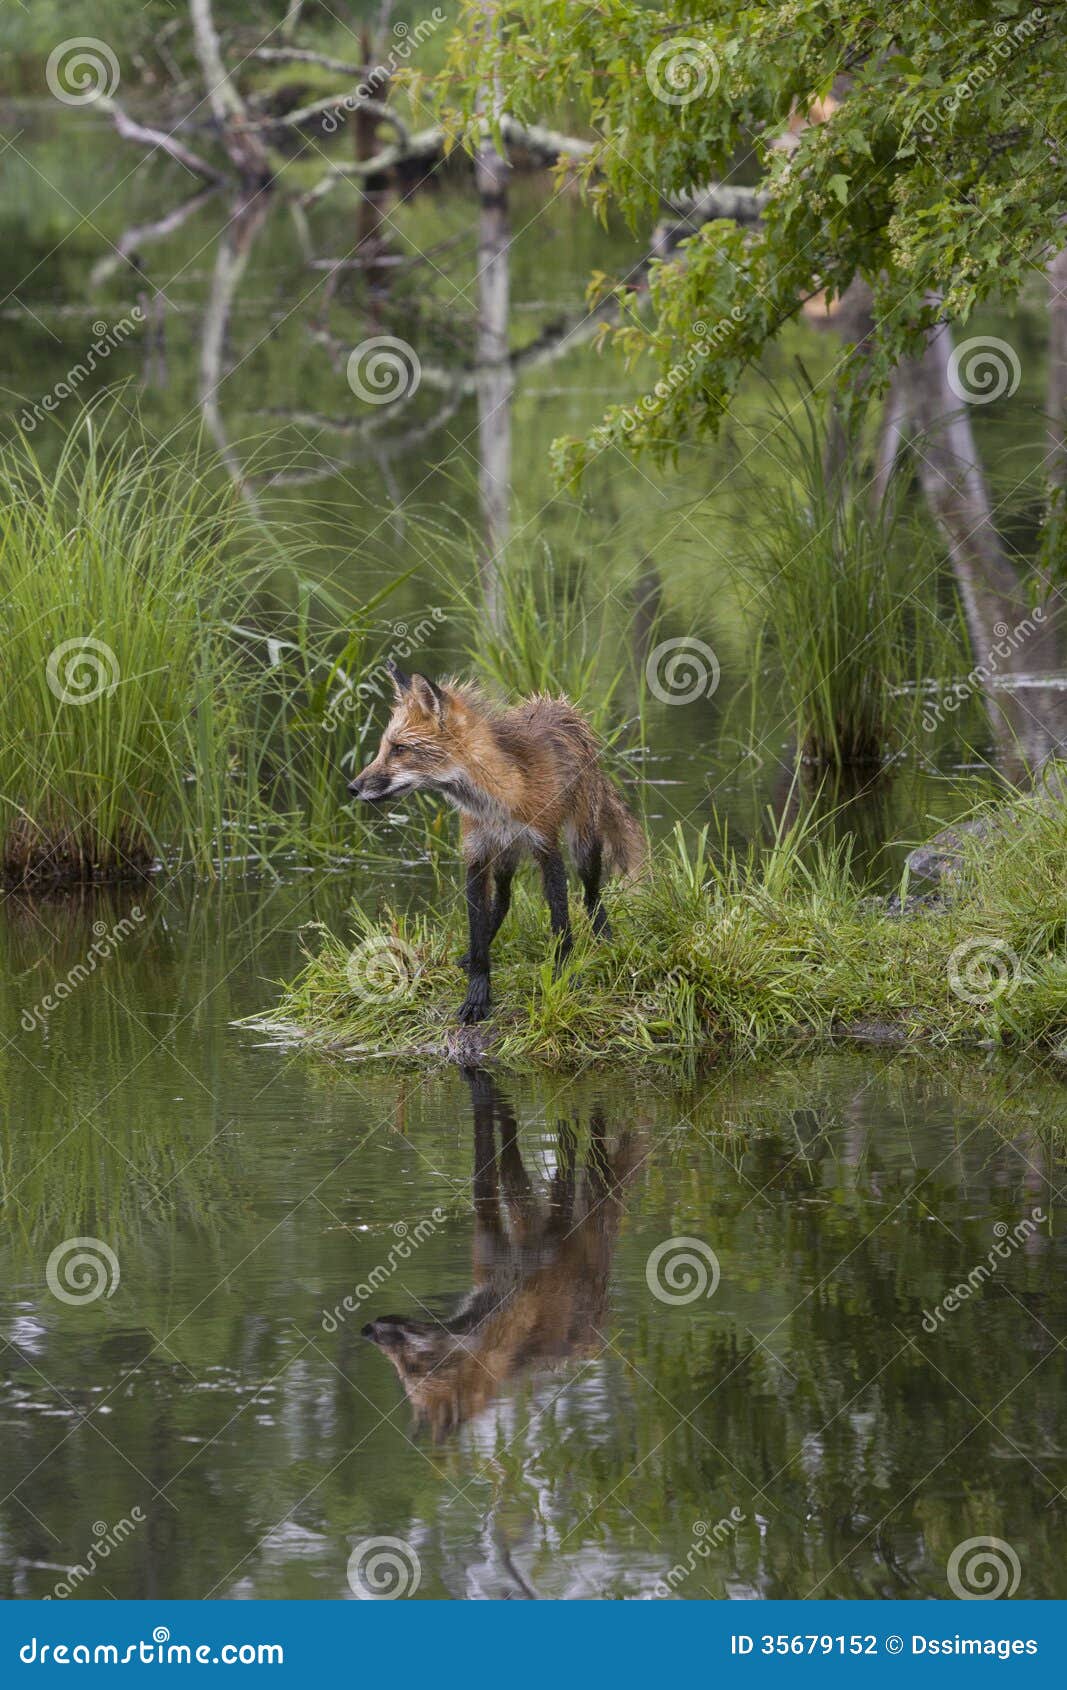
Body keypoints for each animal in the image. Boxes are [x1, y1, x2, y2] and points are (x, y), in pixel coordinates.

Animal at [347, 662, 645, 1024]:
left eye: (400, 749)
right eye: (383, 748)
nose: (352, 787)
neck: (498, 799)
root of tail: (563, 706)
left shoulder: (547, 847)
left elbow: (561, 923)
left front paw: (564, 975)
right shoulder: (476, 853)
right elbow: (477, 930)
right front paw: (477, 992)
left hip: (582, 845)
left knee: (591, 894)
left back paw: (604, 937)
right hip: (505, 856)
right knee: (503, 900)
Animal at [362, 1070, 644, 1439]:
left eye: (410, 1365)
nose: (367, 1330)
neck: (504, 1300)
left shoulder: (550, 1243)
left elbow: (556, 1171)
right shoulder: (493, 1241)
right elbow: (486, 1171)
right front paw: (487, 1096)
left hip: (583, 1213)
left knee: (589, 1160)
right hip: (524, 1214)